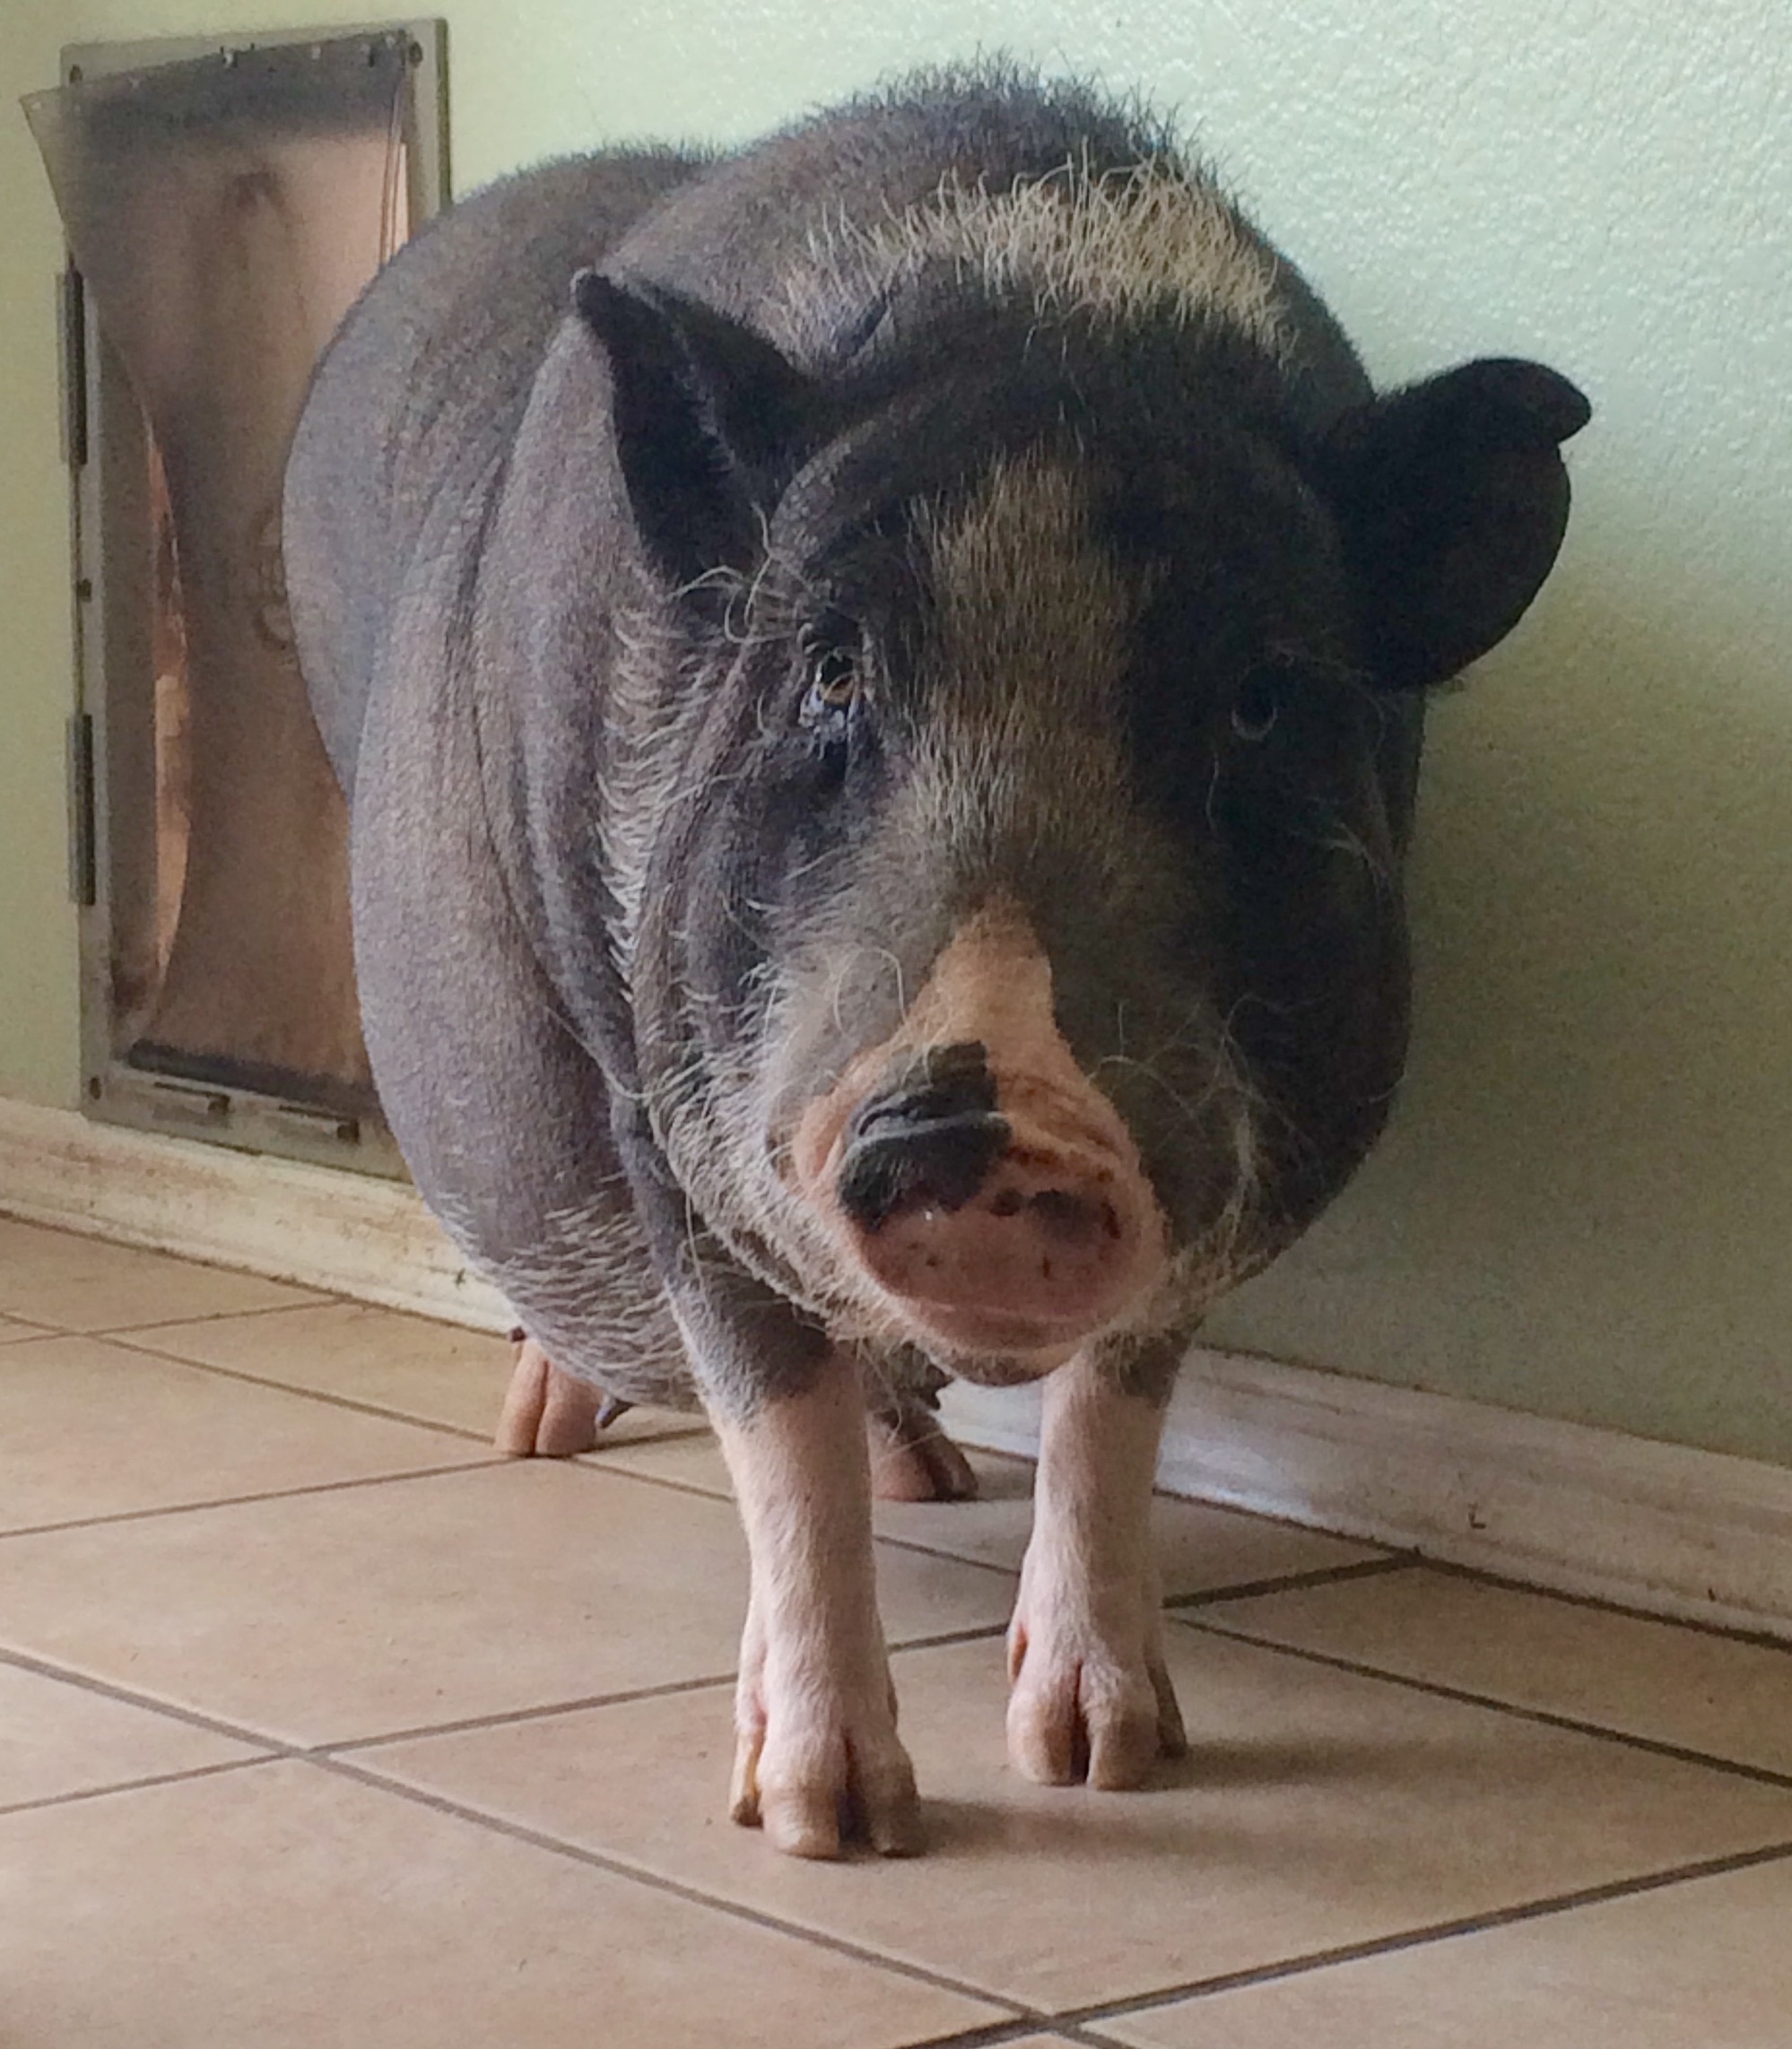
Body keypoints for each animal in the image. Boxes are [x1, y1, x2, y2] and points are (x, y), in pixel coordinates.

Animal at [282, 64, 1587, 1859]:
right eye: (828, 676)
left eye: (1257, 701)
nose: (984, 1118)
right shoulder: (660, 1109)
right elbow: (781, 1432)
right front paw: (828, 1824)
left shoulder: (1218, 1163)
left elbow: (1111, 1413)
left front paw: (1108, 1758)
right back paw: (535, 1438)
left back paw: (935, 1478)